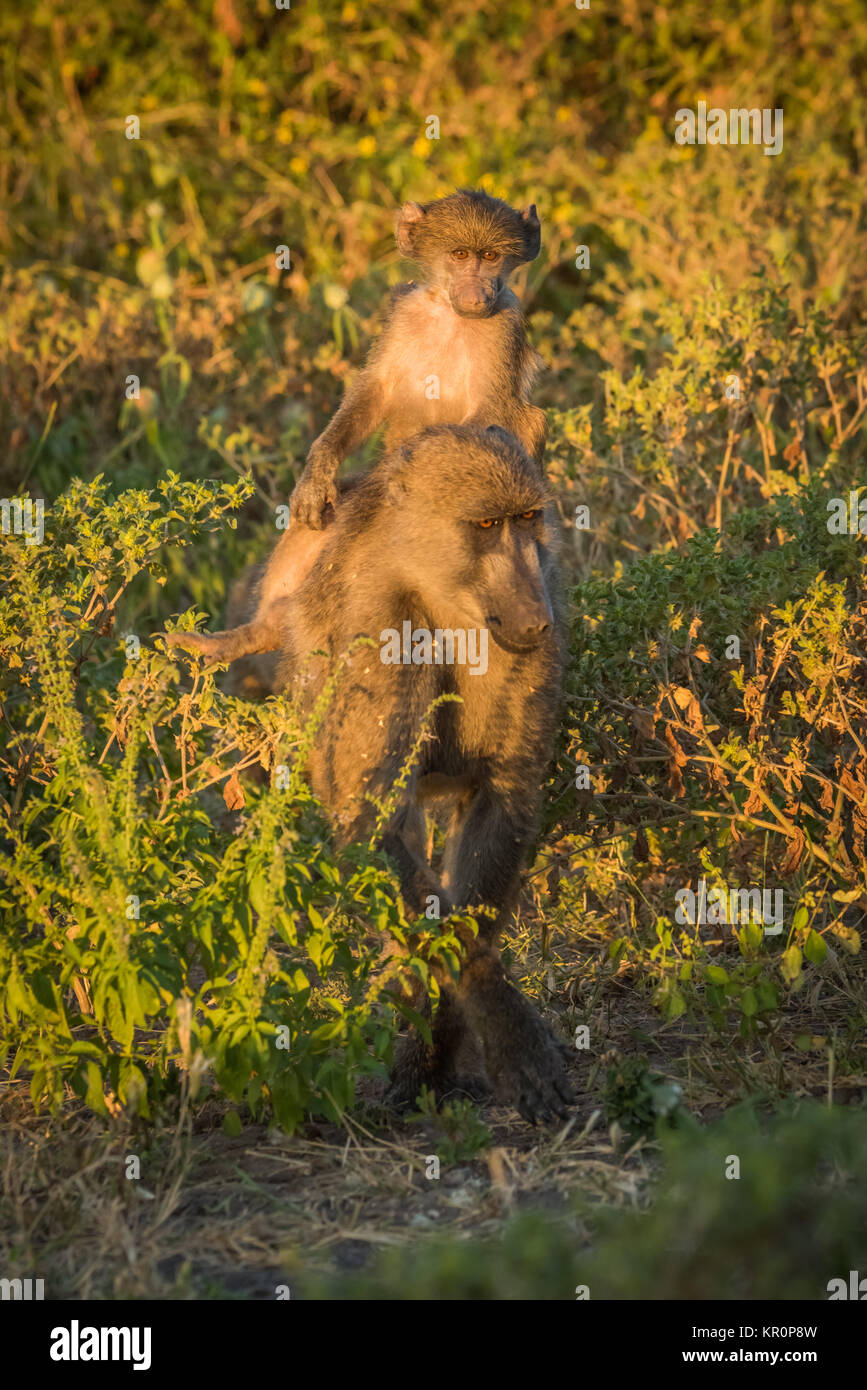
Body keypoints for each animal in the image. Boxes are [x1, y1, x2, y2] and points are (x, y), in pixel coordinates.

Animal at [164, 190, 546, 667]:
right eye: (460, 255)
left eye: (491, 256)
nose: (478, 293)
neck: (450, 314)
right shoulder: (402, 313)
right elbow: (375, 389)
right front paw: (319, 468)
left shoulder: (505, 326)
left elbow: (497, 412)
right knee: (324, 518)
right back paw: (254, 633)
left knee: (530, 423)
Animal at [271, 424, 575, 1124]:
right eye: (486, 525)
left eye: (528, 519)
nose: (535, 614)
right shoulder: (381, 637)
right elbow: (372, 823)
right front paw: (511, 1041)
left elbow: (504, 802)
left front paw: (459, 1037)